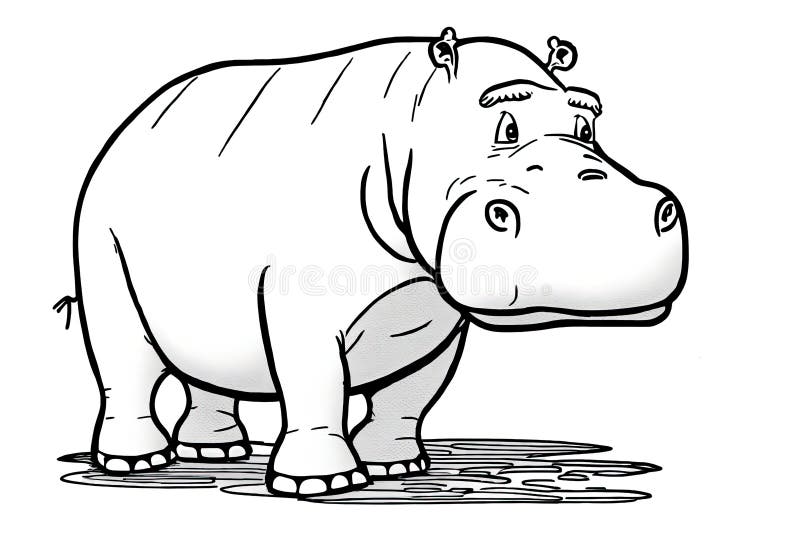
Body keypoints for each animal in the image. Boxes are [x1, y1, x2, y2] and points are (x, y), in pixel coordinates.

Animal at [66, 28, 687, 497]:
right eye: (506, 128)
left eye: (587, 125)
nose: (648, 212)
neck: (415, 126)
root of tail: (133, 119)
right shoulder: (302, 309)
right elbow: (316, 384)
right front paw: (322, 484)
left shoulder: (434, 318)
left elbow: (411, 392)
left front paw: (397, 467)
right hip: (103, 254)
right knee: (125, 365)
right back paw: (135, 463)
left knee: (205, 370)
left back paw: (215, 451)